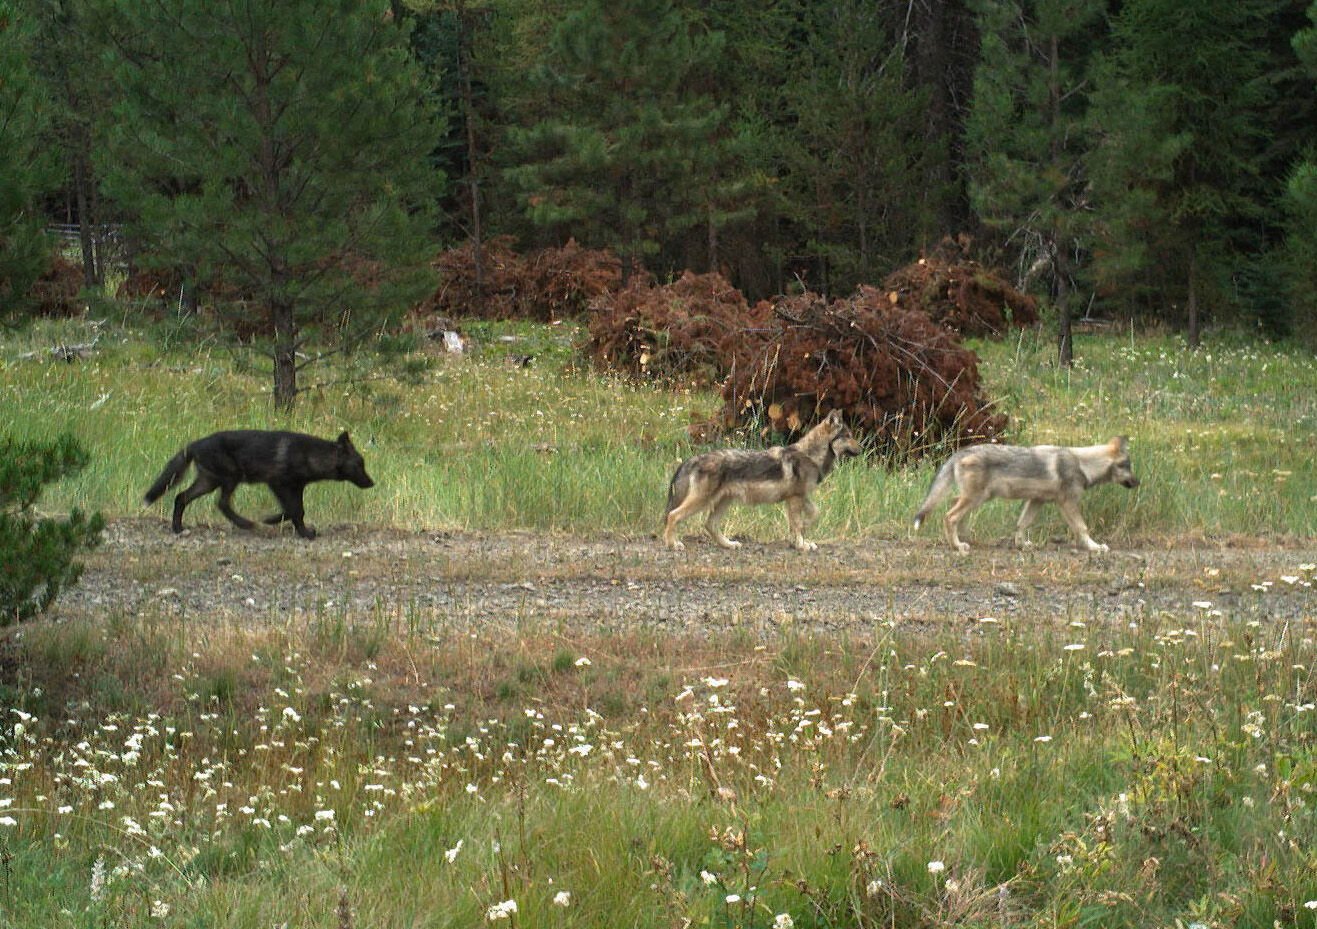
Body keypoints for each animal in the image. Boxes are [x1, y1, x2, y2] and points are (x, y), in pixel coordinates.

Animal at [144, 430, 374, 539]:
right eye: (360, 465)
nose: (372, 483)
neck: (309, 454)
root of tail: (192, 444)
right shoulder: (278, 483)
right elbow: (296, 511)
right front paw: (304, 533)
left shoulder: (296, 487)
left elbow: (295, 510)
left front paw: (280, 522)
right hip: (229, 478)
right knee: (221, 503)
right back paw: (245, 524)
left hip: (210, 481)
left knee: (181, 497)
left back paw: (177, 528)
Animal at [663, 409, 862, 552]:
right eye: (848, 436)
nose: (861, 449)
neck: (811, 456)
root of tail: (695, 458)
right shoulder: (795, 499)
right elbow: (798, 524)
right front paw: (801, 544)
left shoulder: (801, 497)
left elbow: (814, 514)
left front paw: (801, 539)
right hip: (702, 502)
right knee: (673, 515)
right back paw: (673, 544)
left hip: (723, 502)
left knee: (709, 524)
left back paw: (729, 544)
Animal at [913, 436, 1139, 553]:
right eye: (1129, 467)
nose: (1139, 483)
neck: (1083, 464)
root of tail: (960, 452)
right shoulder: (1068, 503)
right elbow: (1082, 528)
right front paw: (1095, 547)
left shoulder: (1036, 500)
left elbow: (1022, 524)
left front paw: (1022, 545)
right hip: (976, 498)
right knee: (949, 516)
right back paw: (958, 546)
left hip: (978, 498)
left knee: (954, 510)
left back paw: (966, 538)